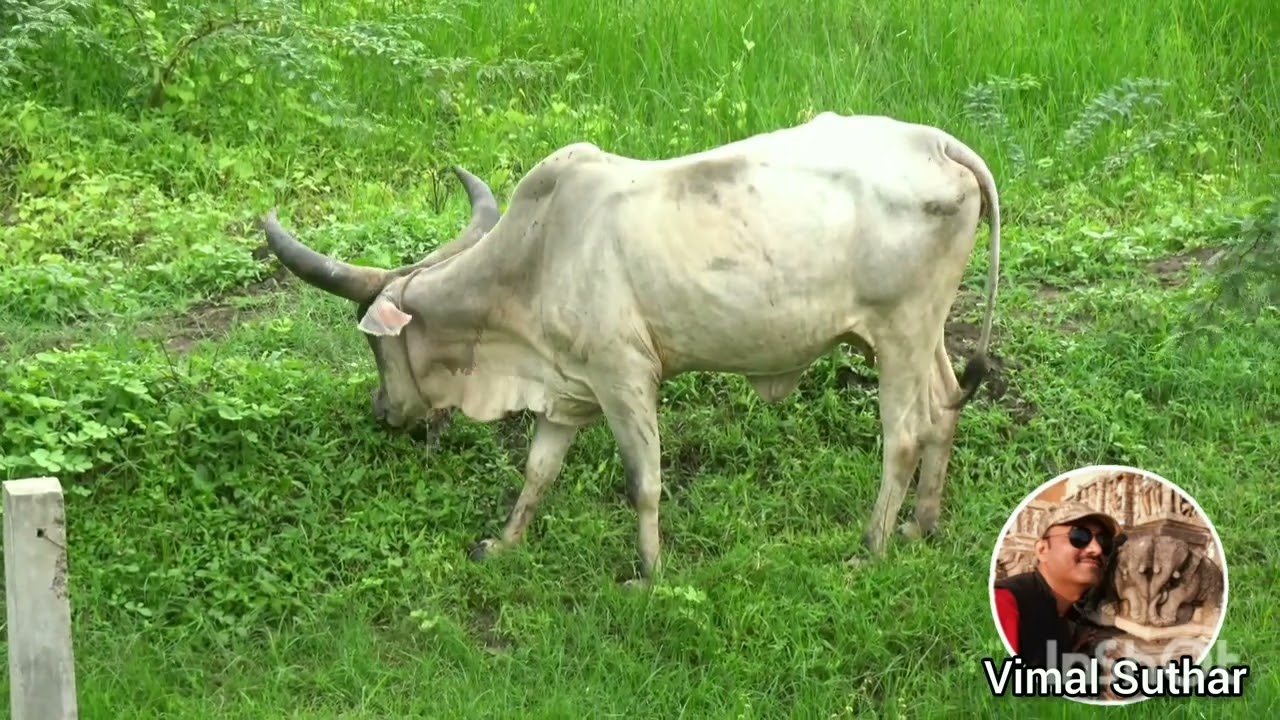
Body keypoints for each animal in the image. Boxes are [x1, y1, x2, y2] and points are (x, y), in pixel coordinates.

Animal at [258, 111, 1002, 588]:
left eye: (373, 341)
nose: (383, 410)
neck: (531, 260)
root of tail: (940, 145)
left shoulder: (624, 377)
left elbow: (643, 482)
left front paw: (648, 576)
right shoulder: (568, 388)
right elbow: (538, 471)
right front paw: (504, 544)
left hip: (901, 332)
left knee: (903, 437)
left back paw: (870, 551)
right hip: (924, 333)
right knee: (945, 409)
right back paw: (921, 528)